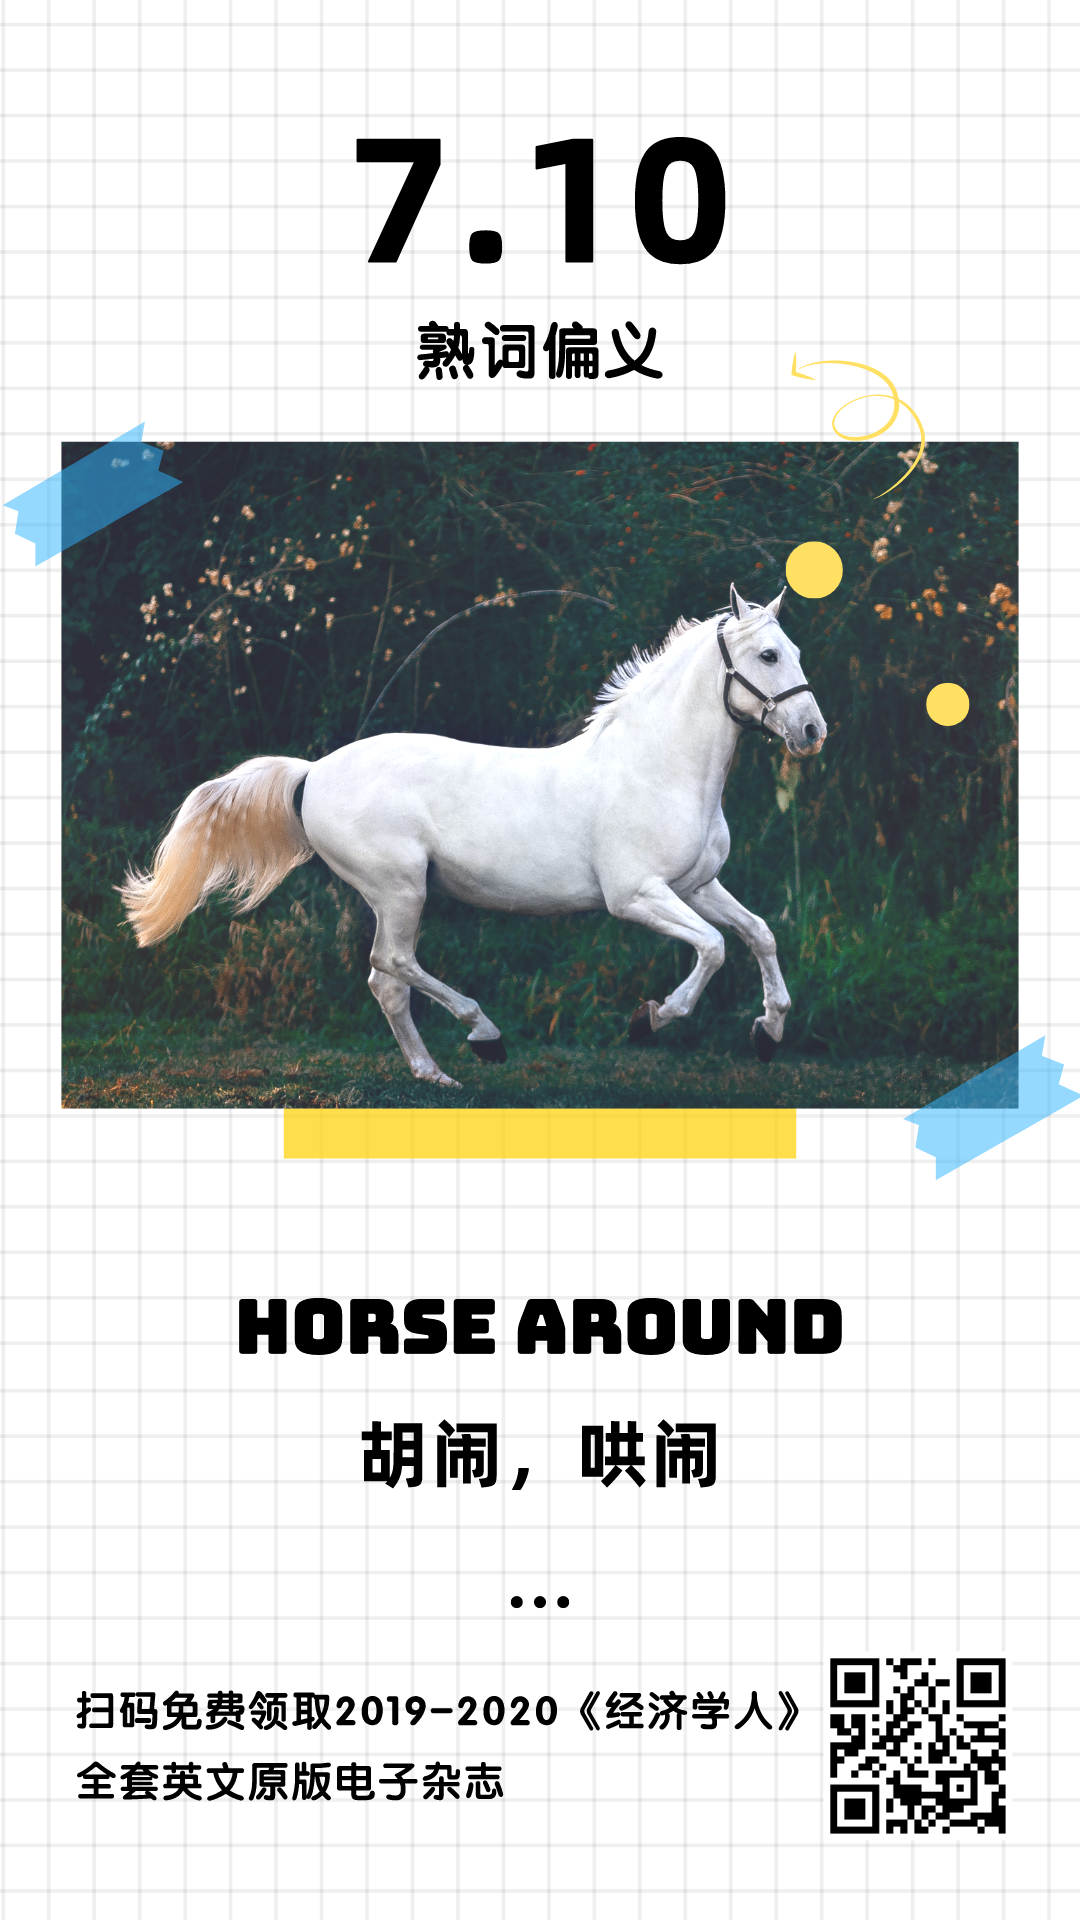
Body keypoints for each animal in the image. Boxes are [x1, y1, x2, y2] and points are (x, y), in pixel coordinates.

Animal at [120, 585, 827, 1087]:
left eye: (795, 652)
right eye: (768, 655)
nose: (813, 732)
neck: (657, 767)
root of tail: (313, 772)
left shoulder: (697, 885)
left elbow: (758, 933)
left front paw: (768, 1032)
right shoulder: (636, 896)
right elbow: (713, 948)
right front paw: (649, 1020)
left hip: (396, 895)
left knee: (385, 981)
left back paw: (435, 1074)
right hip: (400, 889)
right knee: (393, 965)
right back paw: (483, 1036)